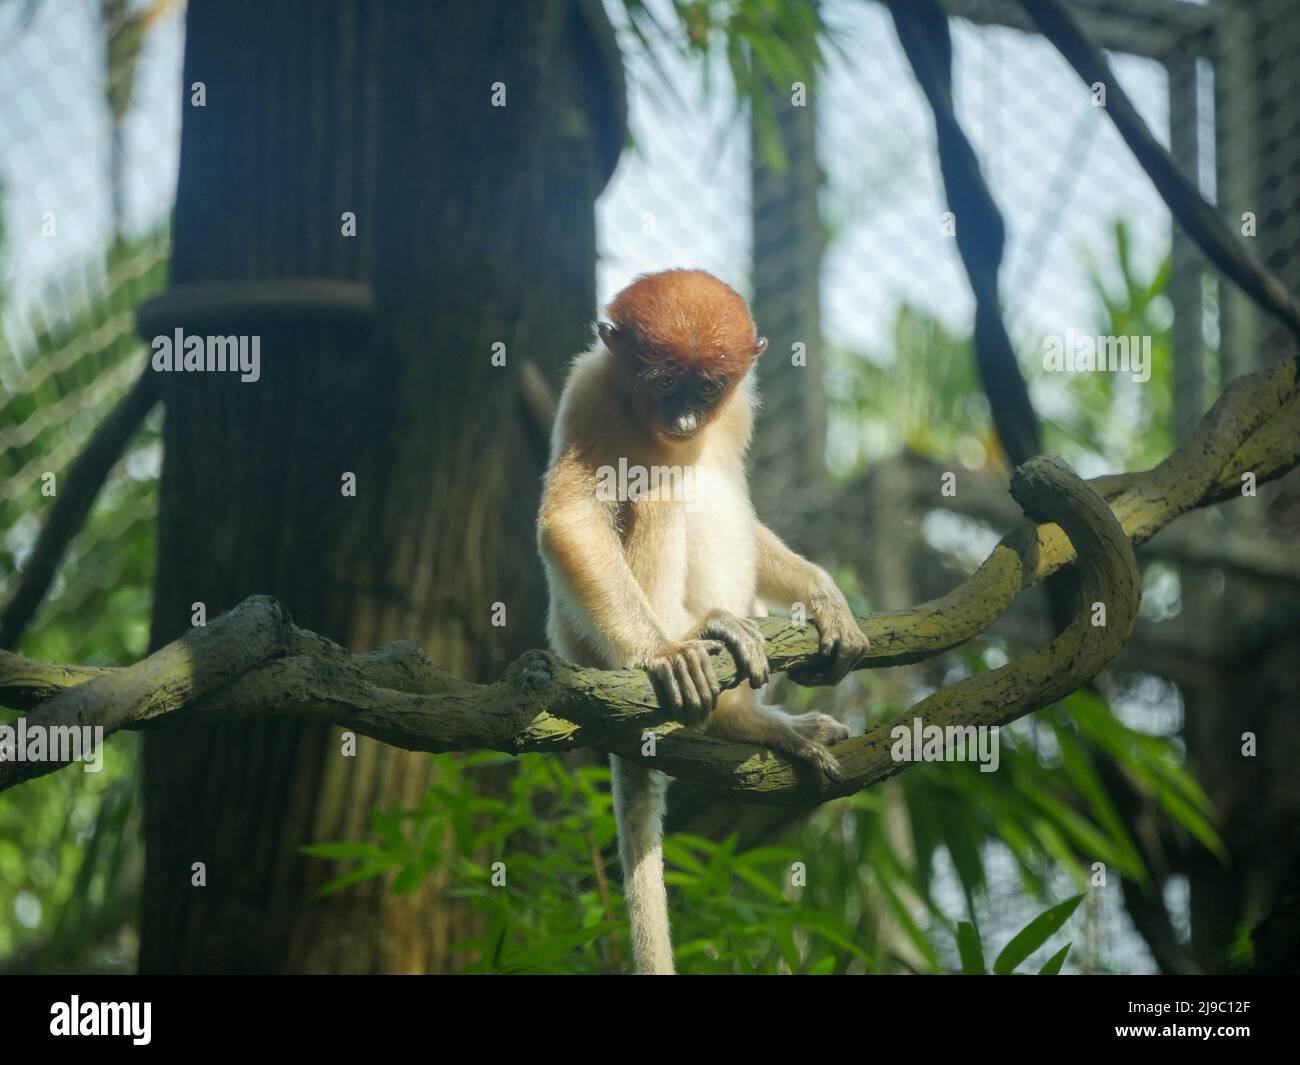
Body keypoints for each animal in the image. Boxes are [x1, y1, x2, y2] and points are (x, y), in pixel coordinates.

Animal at [537, 268, 869, 975]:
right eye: (663, 383)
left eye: (708, 386)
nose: (685, 419)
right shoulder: (590, 389)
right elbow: (571, 519)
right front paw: (663, 654)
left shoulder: (739, 408)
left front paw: (827, 599)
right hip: (588, 640)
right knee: (660, 486)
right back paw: (708, 667)